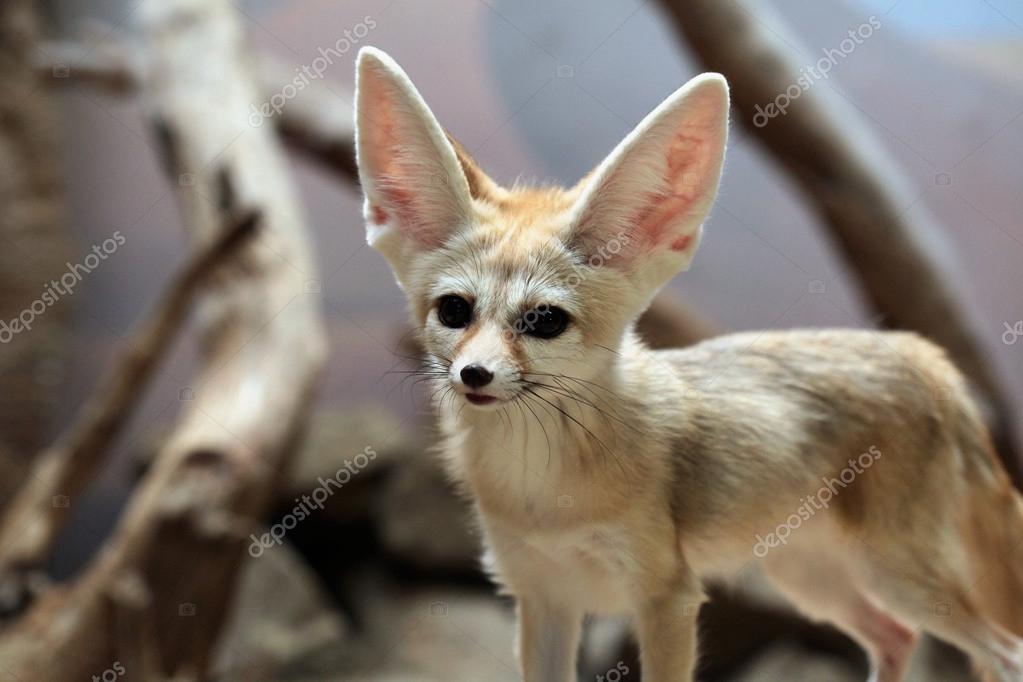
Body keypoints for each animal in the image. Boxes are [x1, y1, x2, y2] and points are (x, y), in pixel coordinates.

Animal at [352, 46, 1023, 682]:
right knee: (896, 638)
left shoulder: (666, 597)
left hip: (896, 577)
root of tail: (925, 353)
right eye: (454, 310)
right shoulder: (543, 597)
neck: (542, 491)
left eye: (544, 320)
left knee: (1003, 652)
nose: (474, 375)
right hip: (812, 579)